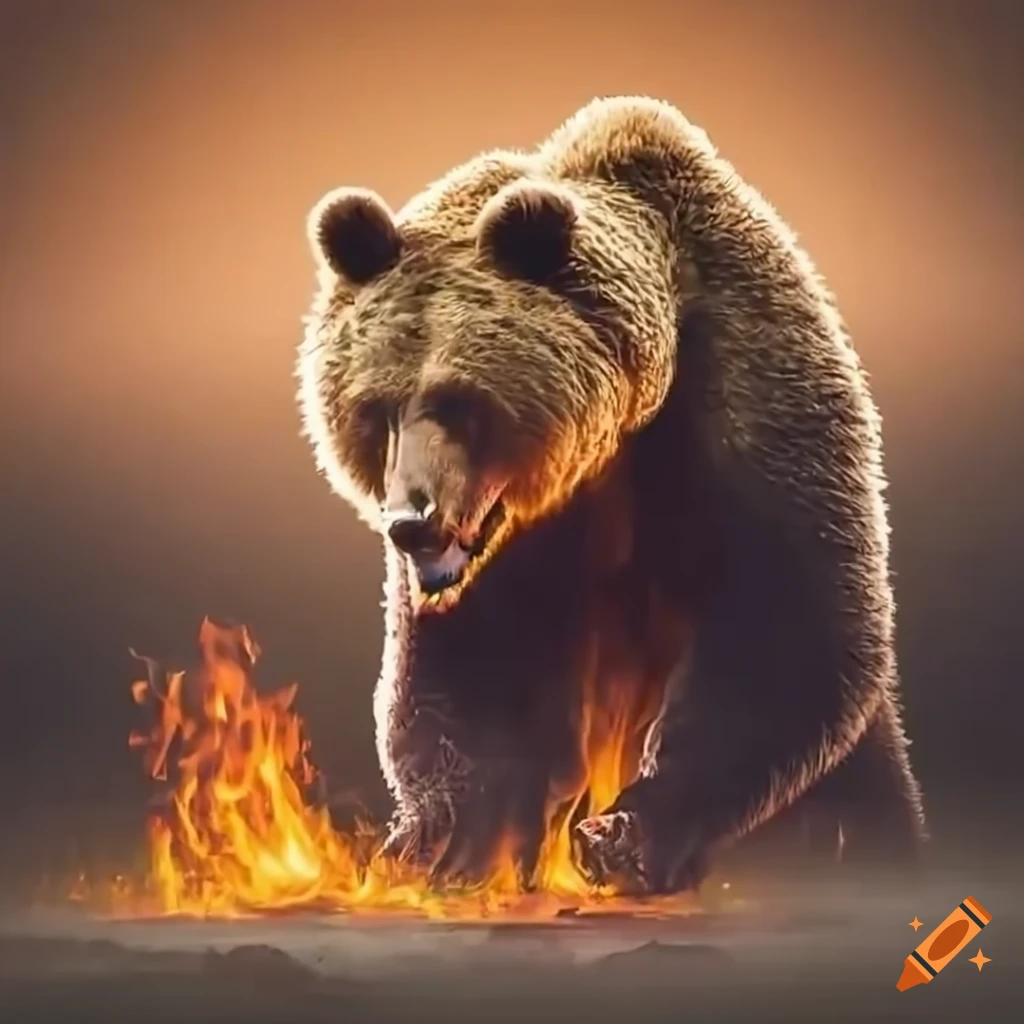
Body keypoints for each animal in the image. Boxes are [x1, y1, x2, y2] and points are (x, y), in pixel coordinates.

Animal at [296, 96, 926, 895]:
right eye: (375, 409)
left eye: (462, 401)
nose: (414, 522)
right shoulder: (516, 556)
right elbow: (463, 670)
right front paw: (450, 837)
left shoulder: (749, 420)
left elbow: (786, 629)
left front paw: (629, 831)